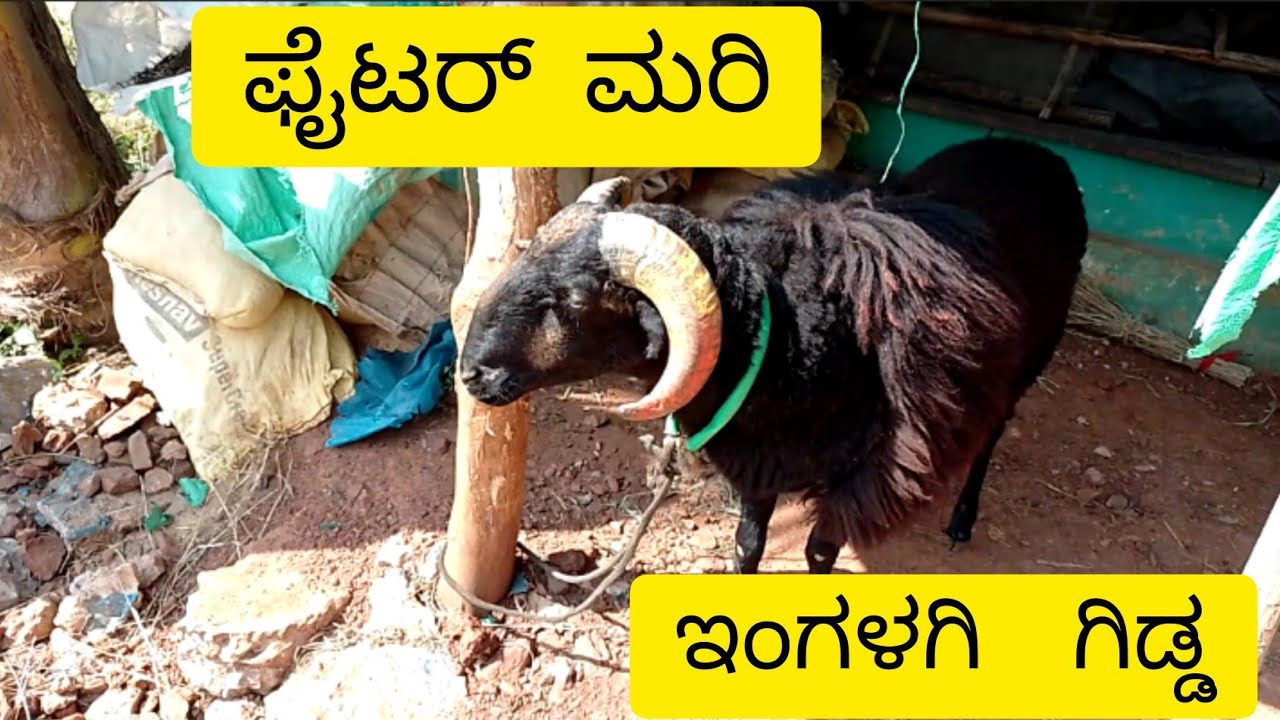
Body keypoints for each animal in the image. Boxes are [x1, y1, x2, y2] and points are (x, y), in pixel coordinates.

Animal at [458, 136, 1088, 574]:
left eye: (572, 299)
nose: (470, 373)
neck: (792, 339)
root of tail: (1041, 155)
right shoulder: (760, 463)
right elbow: (747, 546)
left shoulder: (860, 482)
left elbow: (817, 555)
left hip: (1031, 358)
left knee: (992, 433)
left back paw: (962, 518)